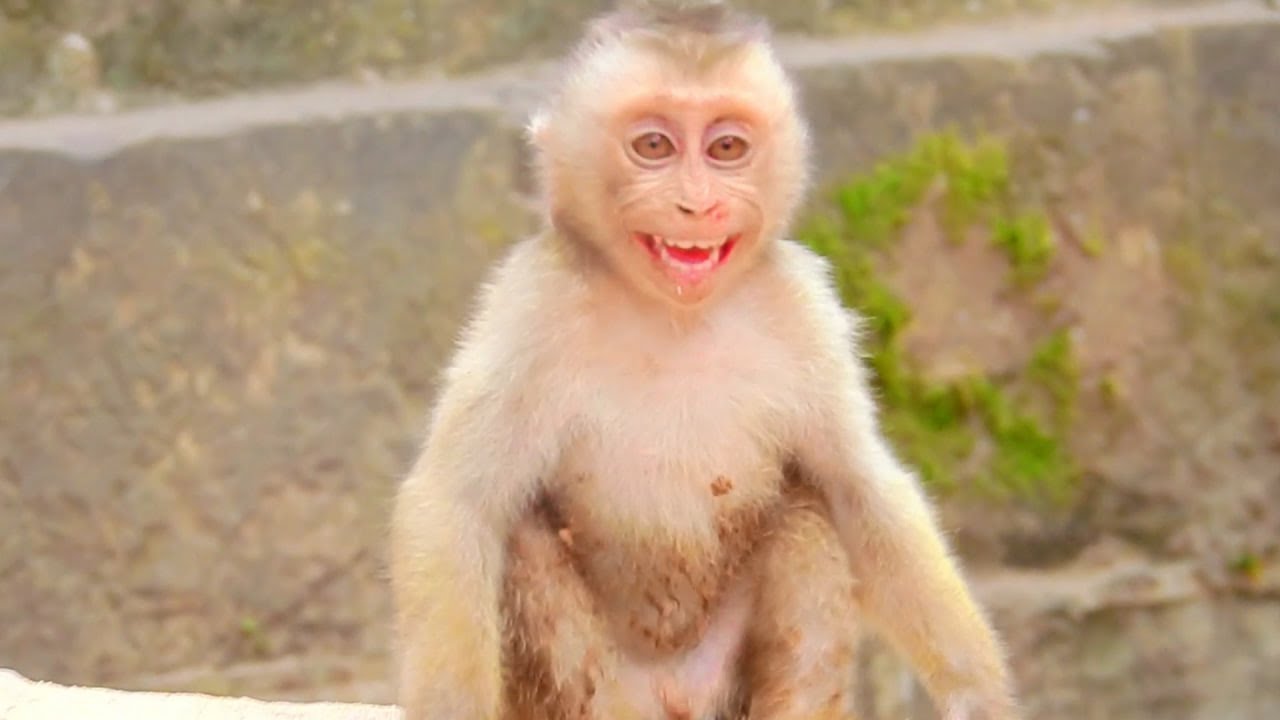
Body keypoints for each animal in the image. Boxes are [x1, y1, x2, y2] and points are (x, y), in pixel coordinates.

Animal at [389, 2, 1018, 719]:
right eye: (654, 146)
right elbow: (456, 505)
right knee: (522, 544)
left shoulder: (804, 307)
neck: (672, 316)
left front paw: (979, 694)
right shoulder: (529, 305)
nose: (697, 203)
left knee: (806, 513)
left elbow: (858, 486)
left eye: (726, 149)